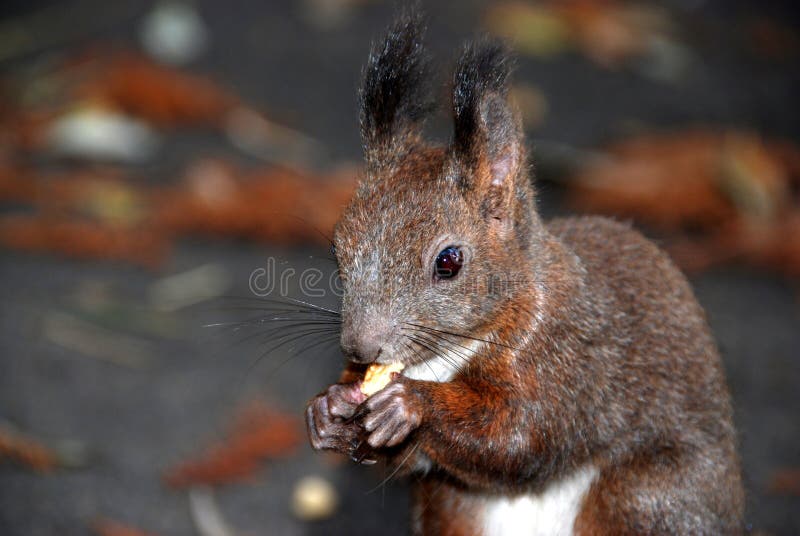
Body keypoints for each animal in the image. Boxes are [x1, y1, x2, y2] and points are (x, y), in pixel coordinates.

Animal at [305, 12, 744, 535]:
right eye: (338, 248)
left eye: (448, 262)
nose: (360, 347)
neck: (447, 355)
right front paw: (328, 408)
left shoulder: (569, 359)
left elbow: (522, 439)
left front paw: (410, 405)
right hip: (450, 505)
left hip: (646, 496)